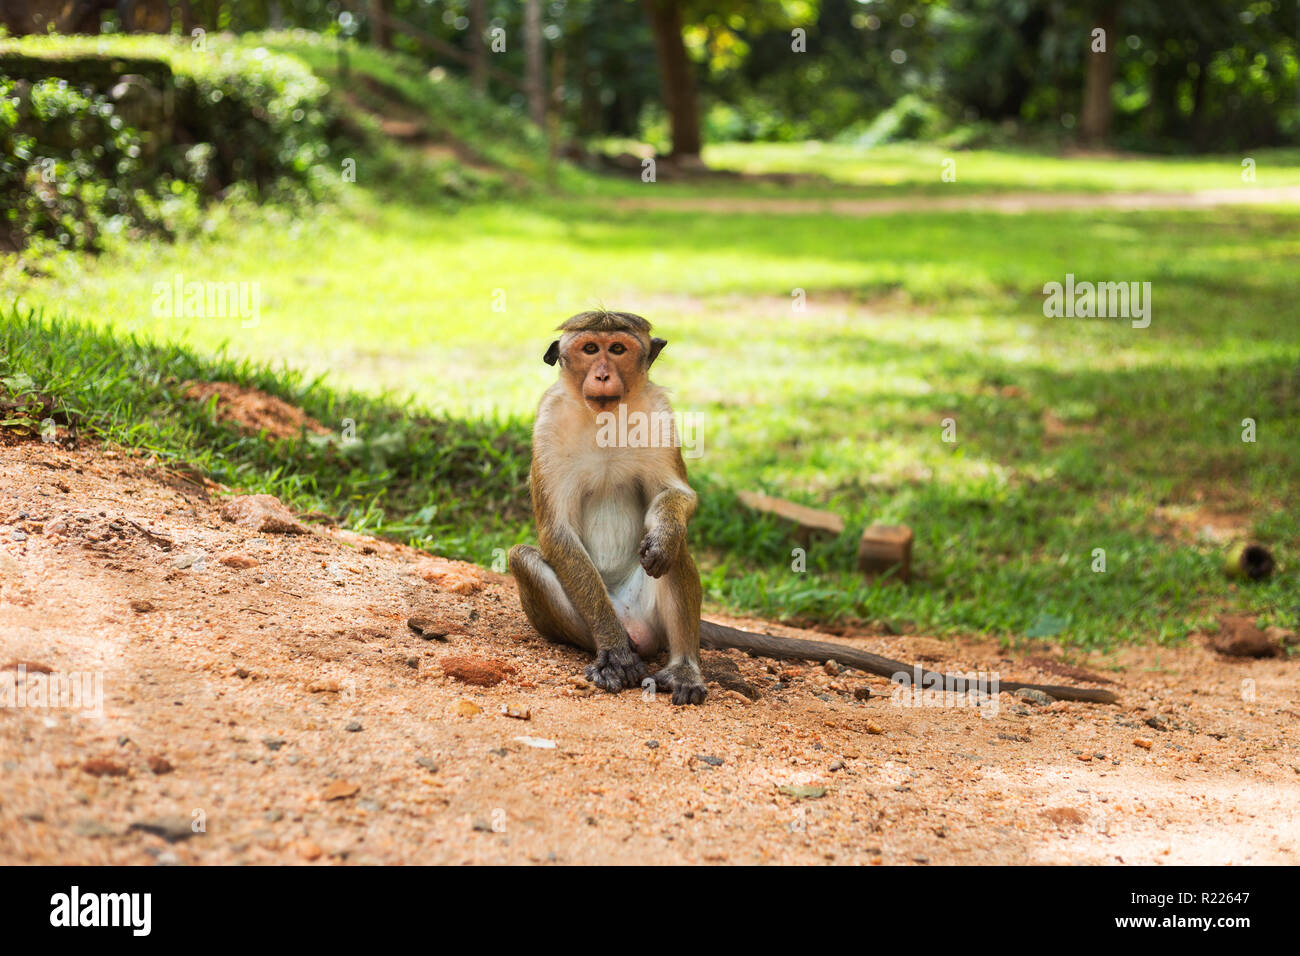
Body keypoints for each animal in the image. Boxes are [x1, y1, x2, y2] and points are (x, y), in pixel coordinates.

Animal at [509, 310, 1118, 707]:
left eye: (618, 348)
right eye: (588, 349)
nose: (602, 375)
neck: (605, 415)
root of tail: (640, 627)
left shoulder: (658, 412)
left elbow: (676, 497)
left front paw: (662, 530)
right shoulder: (547, 423)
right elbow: (554, 532)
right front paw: (613, 654)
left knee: (676, 554)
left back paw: (684, 665)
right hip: (590, 620)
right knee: (525, 558)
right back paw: (617, 648)